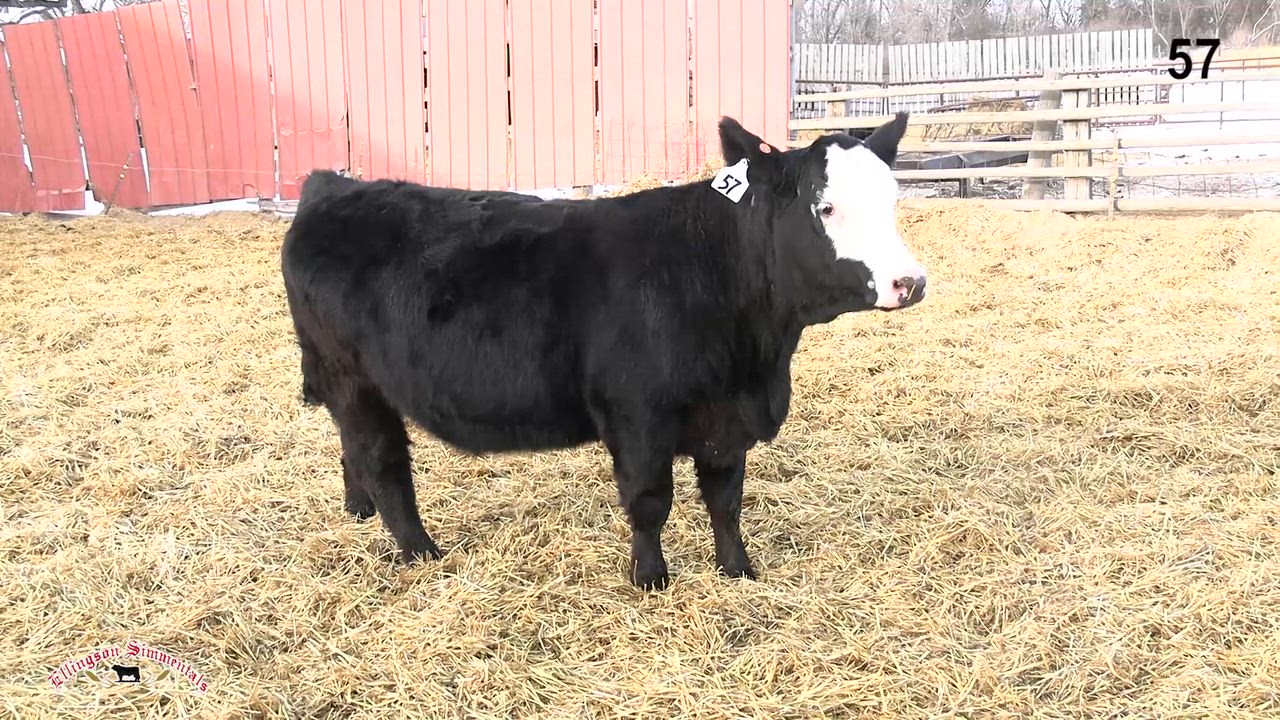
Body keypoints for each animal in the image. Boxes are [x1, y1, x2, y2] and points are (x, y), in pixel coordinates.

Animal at [280, 113, 927, 590]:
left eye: (894, 200)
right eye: (825, 206)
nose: (910, 281)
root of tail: (336, 187)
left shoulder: (727, 420)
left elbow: (726, 499)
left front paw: (738, 570)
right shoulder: (638, 416)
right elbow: (649, 501)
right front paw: (651, 579)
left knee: (352, 451)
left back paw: (359, 511)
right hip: (353, 378)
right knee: (383, 461)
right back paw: (422, 552)